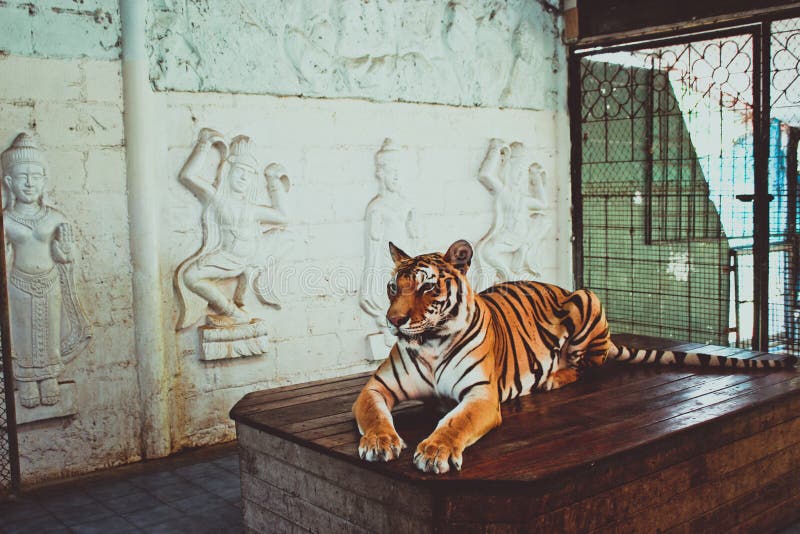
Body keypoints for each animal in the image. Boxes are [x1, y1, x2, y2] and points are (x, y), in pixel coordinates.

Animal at [352, 239, 797, 474]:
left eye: (427, 288)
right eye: (393, 288)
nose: (393, 320)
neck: (431, 342)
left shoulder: (480, 395)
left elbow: (454, 422)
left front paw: (435, 451)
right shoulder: (376, 387)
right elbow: (373, 414)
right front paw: (379, 442)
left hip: (586, 299)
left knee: (587, 368)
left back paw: (551, 377)